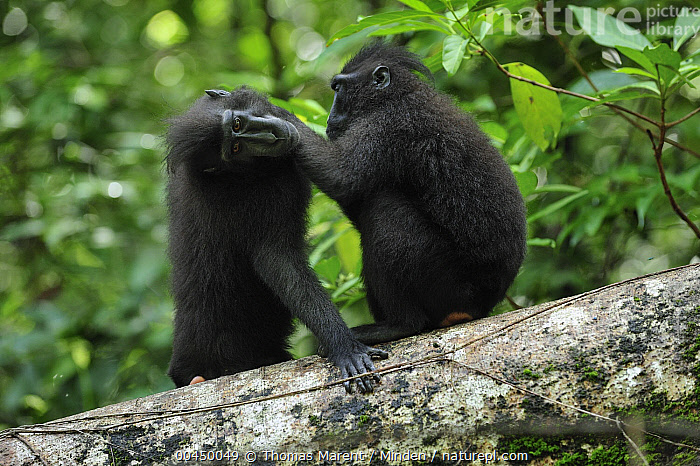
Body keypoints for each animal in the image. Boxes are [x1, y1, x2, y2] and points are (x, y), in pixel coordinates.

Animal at [165, 87, 387, 393]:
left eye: (237, 124)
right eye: (235, 148)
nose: (268, 137)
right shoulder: (272, 186)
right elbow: (278, 261)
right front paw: (344, 345)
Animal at [254, 43, 527, 345]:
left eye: (339, 89)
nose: (329, 118)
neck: (394, 96)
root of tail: (481, 305)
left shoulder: (390, 124)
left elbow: (341, 176)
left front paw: (271, 114)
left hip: (449, 285)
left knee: (386, 209)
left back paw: (400, 325)